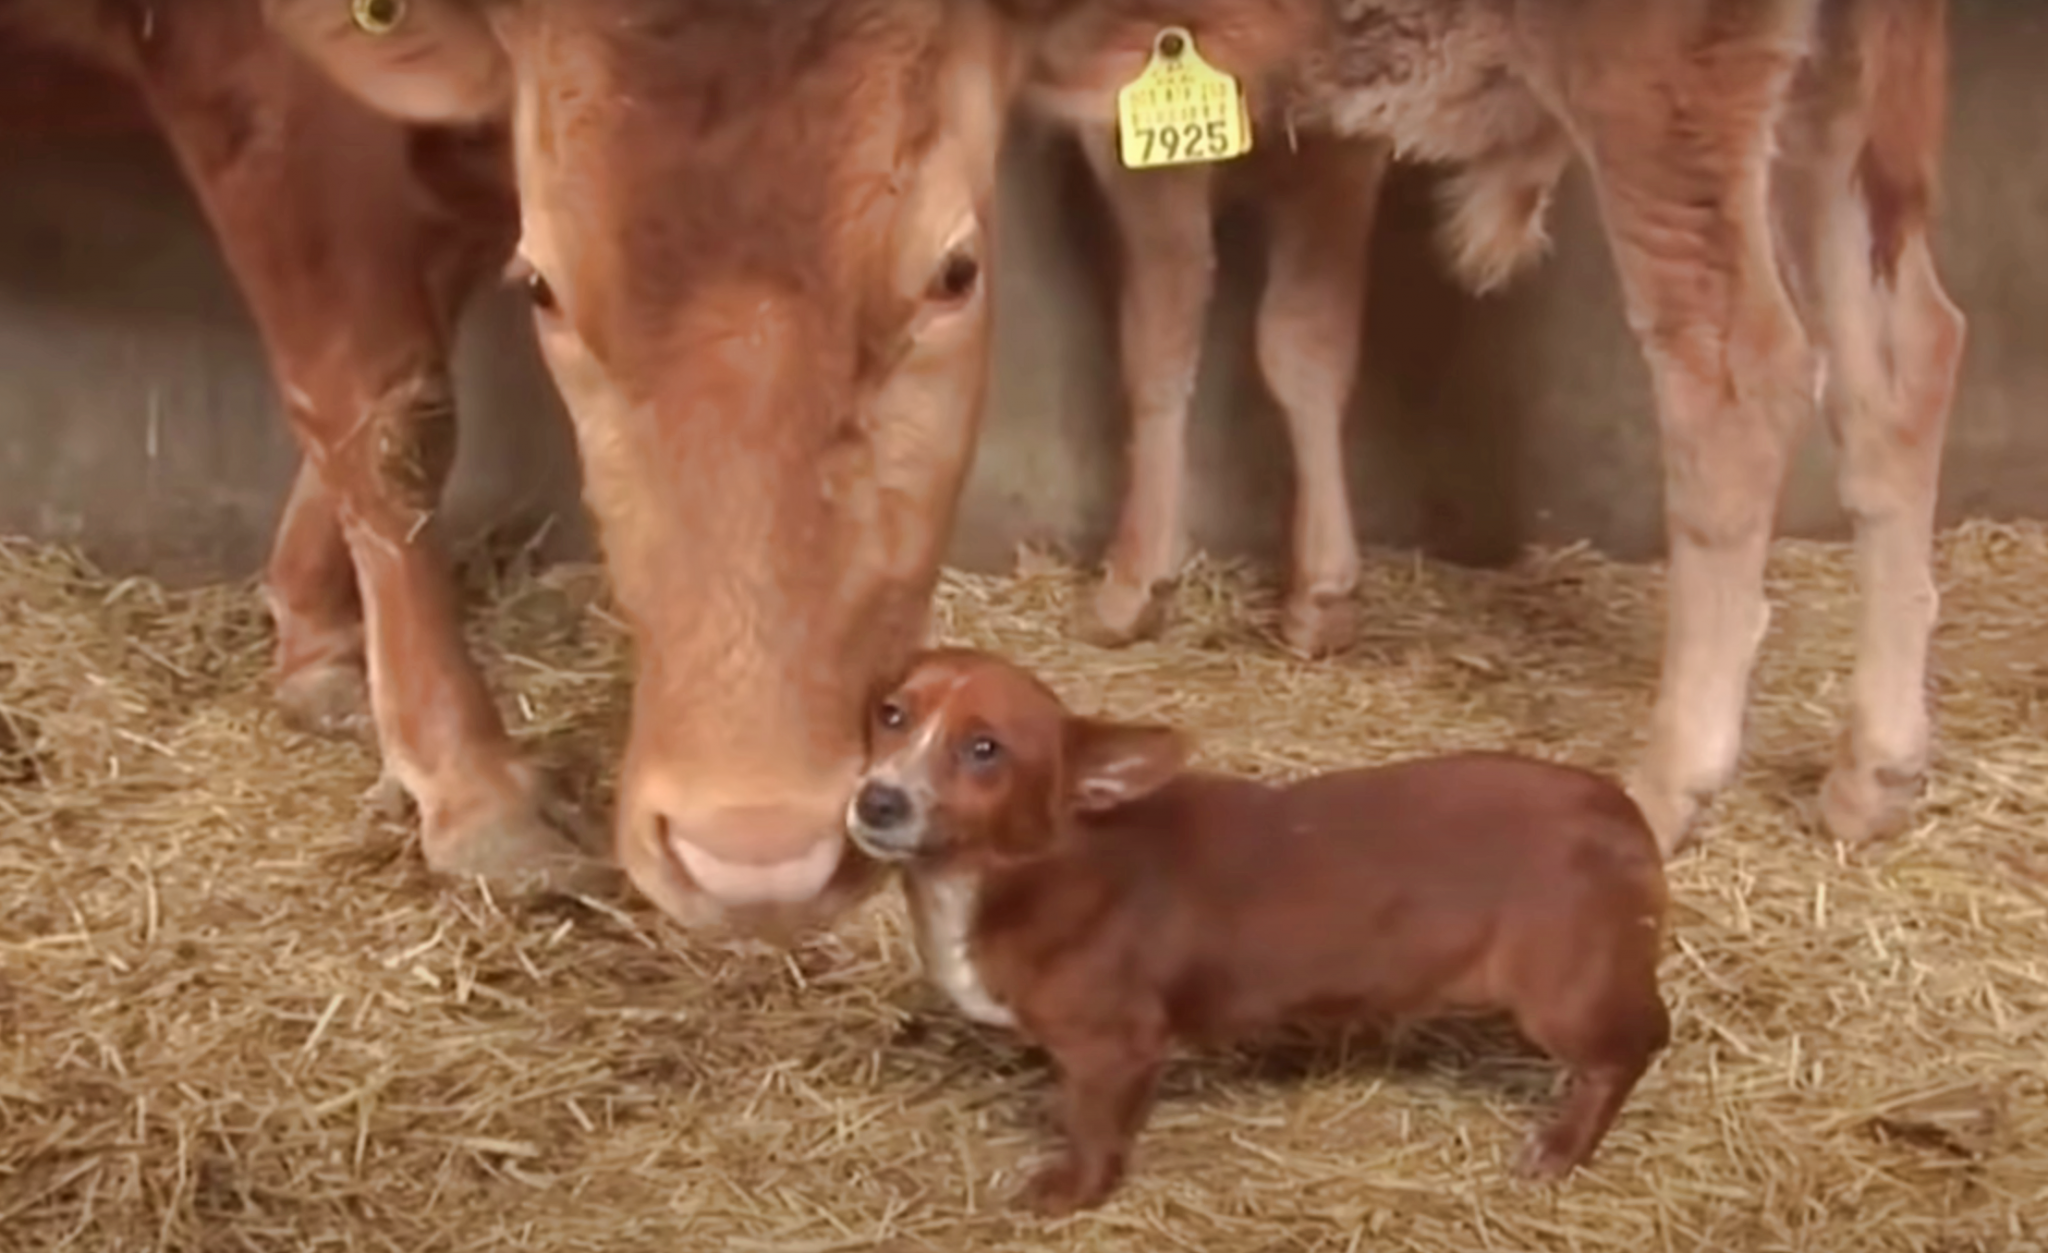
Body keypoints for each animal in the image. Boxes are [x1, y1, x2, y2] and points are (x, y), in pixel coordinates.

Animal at [251, 0, 1959, 882]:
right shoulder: (1302, 102)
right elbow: (1294, 333)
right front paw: (1310, 593)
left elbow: (1168, 308)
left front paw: (1141, 579)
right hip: (1838, 100)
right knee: (1902, 362)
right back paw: (1876, 760)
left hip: (1669, 78)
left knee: (1742, 373)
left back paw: (1674, 769)